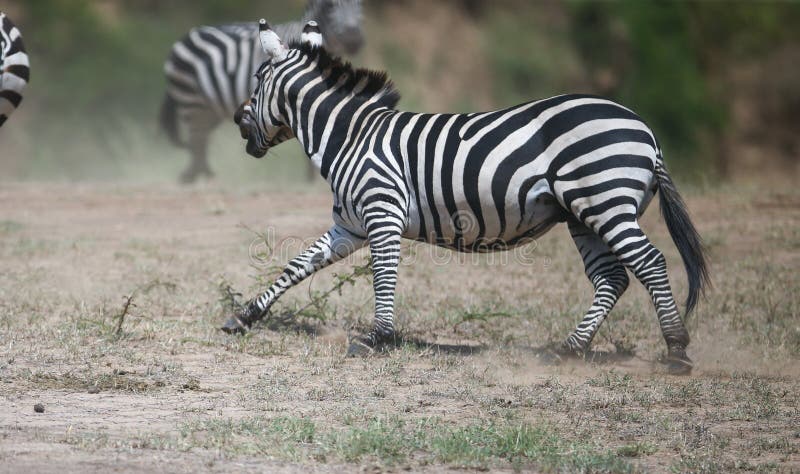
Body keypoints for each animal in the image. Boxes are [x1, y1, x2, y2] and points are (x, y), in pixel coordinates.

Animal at [160, 0, 363, 183]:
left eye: (360, 4)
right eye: (330, 6)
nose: (354, 41)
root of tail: (187, 36)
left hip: (208, 110)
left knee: (201, 141)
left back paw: (201, 175)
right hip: (191, 101)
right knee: (197, 141)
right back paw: (198, 178)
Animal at [223, 20, 710, 374]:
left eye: (257, 80)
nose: (235, 119)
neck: (352, 138)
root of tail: (645, 131)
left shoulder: (383, 212)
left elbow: (383, 276)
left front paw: (377, 338)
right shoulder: (350, 225)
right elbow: (296, 266)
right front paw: (245, 316)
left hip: (604, 202)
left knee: (650, 264)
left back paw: (676, 351)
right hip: (583, 213)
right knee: (612, 278)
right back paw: (566, 350)